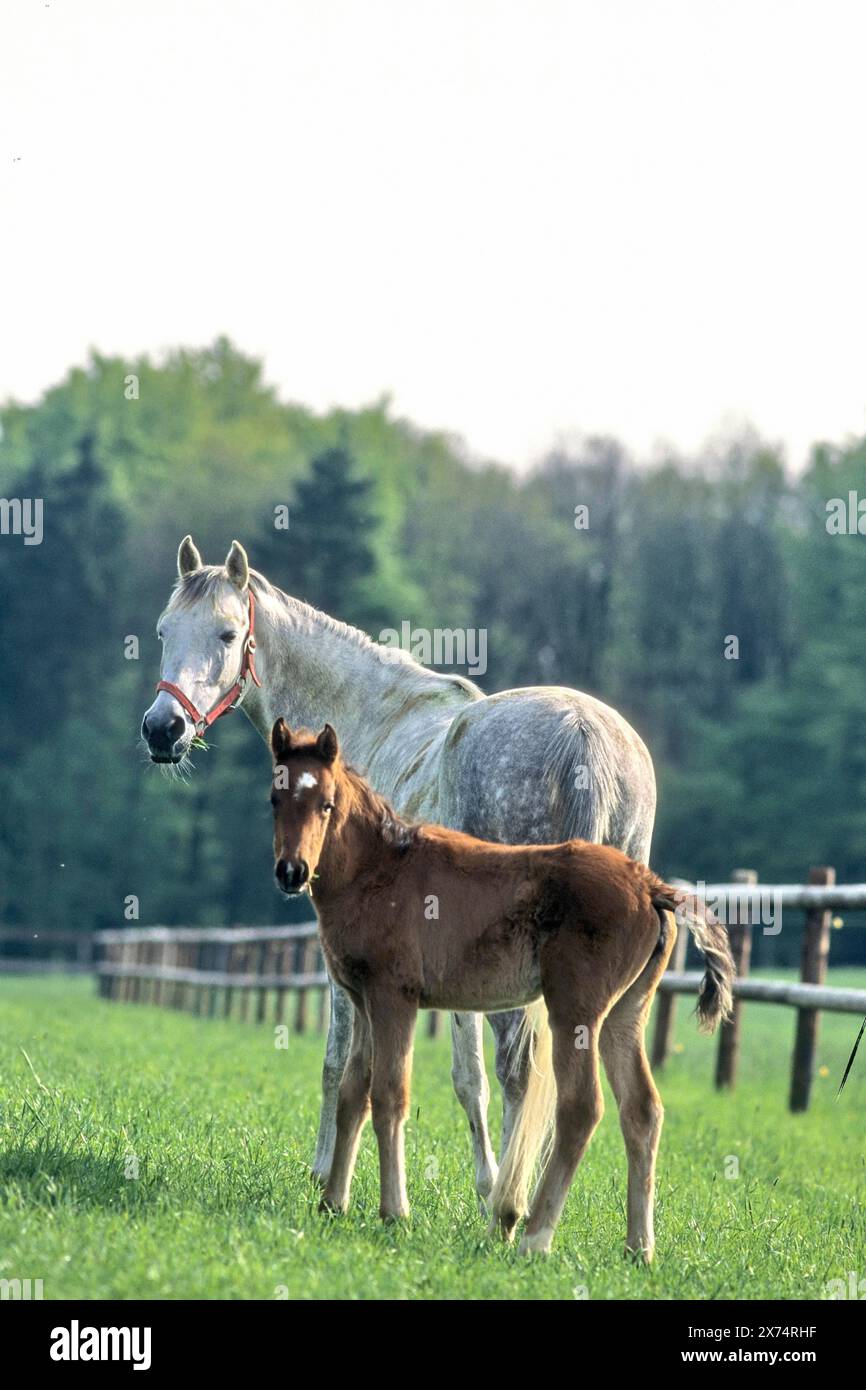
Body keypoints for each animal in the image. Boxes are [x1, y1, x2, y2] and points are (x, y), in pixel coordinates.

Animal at [141, 536, 658, 1203]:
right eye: (163, 631)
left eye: (228, 634)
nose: (163, 729)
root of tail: (586, 742)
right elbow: (463, 1077)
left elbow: (344, 1062)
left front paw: (328, 1172)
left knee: (520, 1069)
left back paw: (510, 1204)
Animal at [268, 720, 734, 1258]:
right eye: (274, 799)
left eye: (326, 804)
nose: (292, 872)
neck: (379, 870)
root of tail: (652, 887)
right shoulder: (364, 1000)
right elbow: (352, 1093)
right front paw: (332, 1204)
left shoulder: (393, 998)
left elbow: (389, 1096)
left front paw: (394, 1212)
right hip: (625, 1014)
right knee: (641, 1109)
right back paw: (638, 1248)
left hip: (574, 1011)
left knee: (580, 1108)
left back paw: (533, 1237)